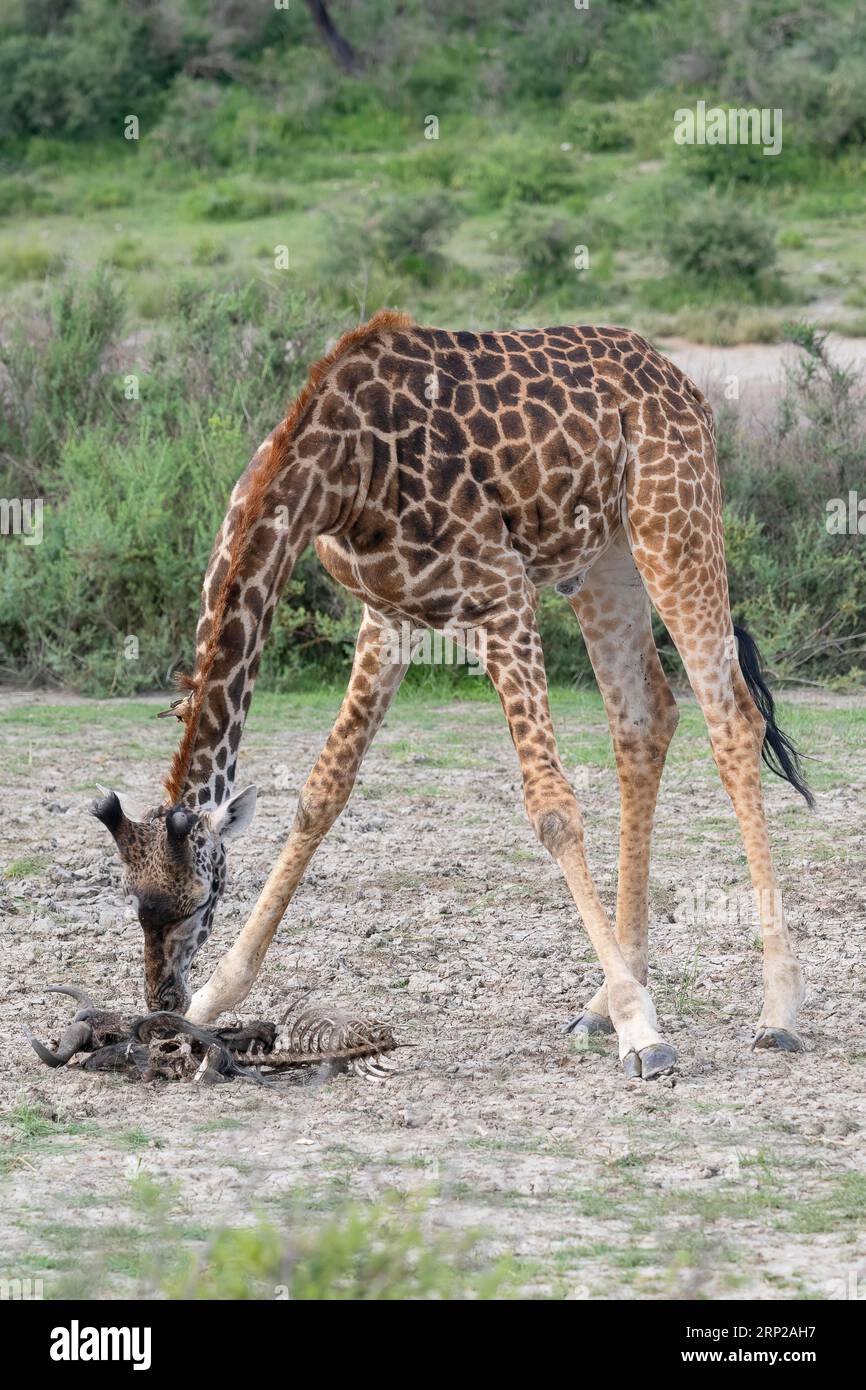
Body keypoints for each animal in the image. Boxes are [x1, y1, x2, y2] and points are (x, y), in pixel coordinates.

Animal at [93, 310, 812, 1078]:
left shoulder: (503, 596)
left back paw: (776, 1012)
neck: (337, 472)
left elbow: (552, 811)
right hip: (604, 560)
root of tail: (680, 381)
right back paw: (600, 1002)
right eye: (136, 904)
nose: (162, 995)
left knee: (731, 718)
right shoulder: (389, 617)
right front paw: (210, 1004)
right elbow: (322, 793)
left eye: (200, 898)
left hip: (675, 525)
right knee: (645, 717)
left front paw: (642, 1030)